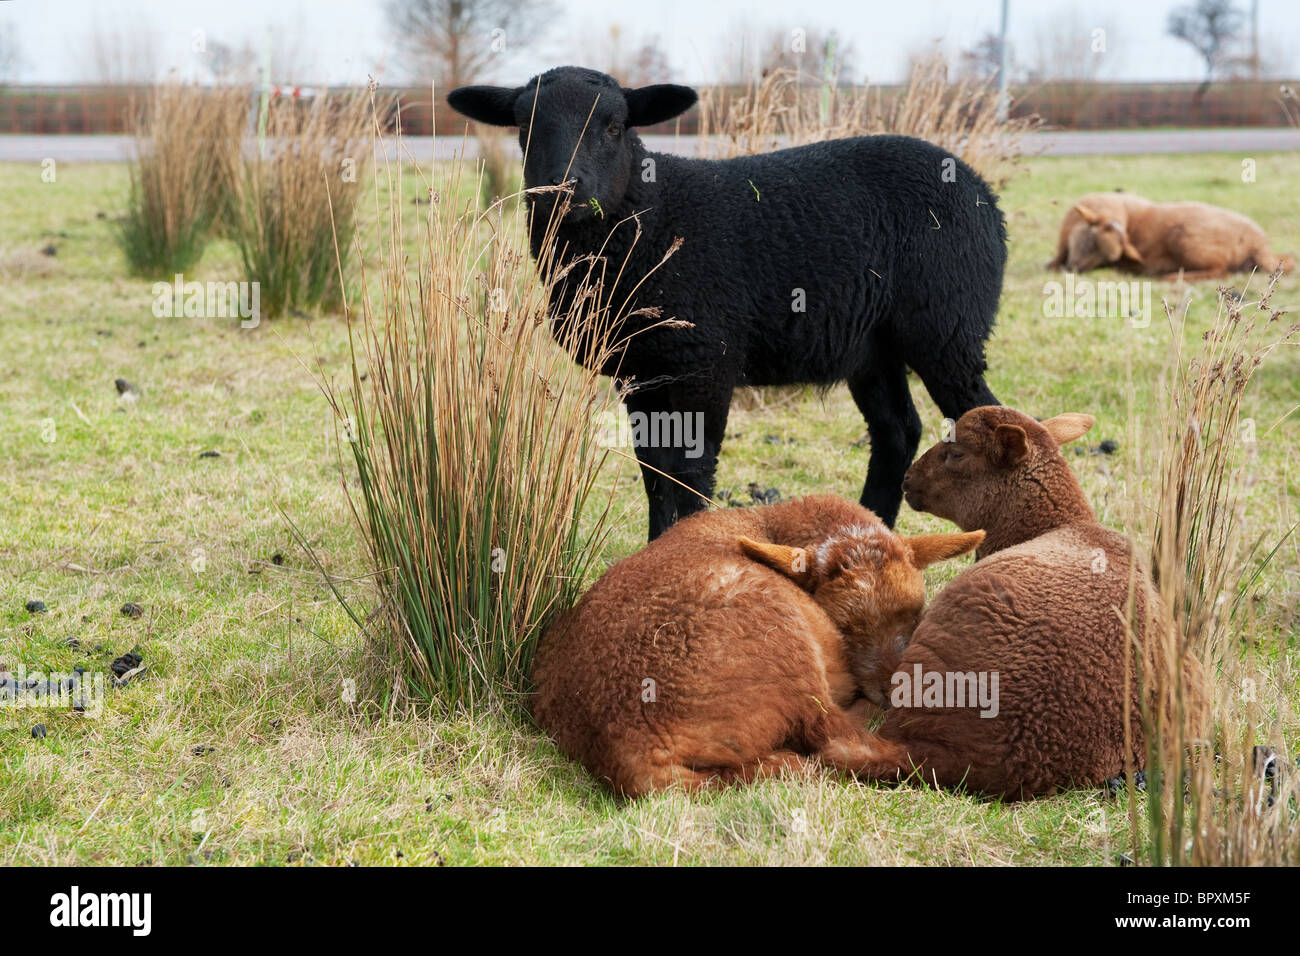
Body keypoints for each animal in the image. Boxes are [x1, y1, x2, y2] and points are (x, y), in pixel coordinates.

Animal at [448, 67, 1007, 540]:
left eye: (614, 126)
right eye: (523, 126)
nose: (559, 192)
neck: (655, 219)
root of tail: (981, 189)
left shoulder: (706, 361)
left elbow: (691, 471)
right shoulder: (641, 371)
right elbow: (655, 471)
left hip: (947, 326)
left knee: (983, 414)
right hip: (872, 346)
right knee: (896, 431)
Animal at [529, 494, 983, 798]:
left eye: (915, 613)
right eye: (844, 627)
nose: (894, 691)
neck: (768, 522)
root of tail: (632, 749)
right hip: (786, 650)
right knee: (841, 743)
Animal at [1047, 191, 1294, 280]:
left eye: (1107, 257)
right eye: (1090, 240)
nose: (1074, 269)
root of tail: (1259, 244)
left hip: (1185, 240)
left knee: (1220, 270)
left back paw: (1172, 277)